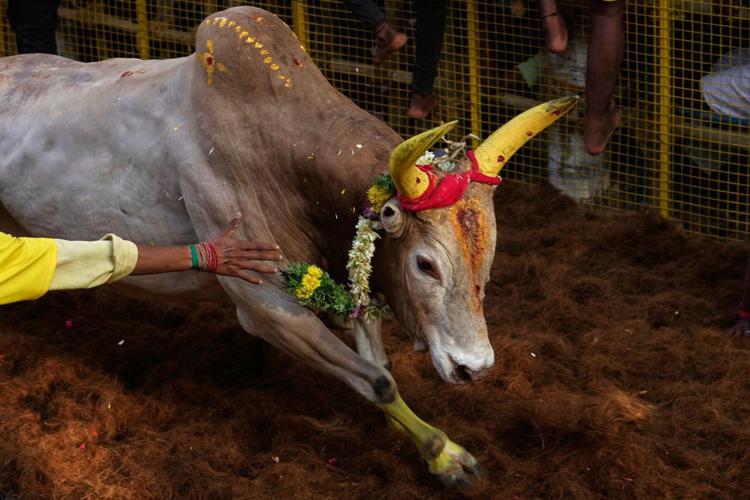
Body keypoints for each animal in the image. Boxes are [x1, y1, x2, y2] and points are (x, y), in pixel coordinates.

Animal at [0, 6, 576, 487]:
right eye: (424, 264)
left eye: (488, 259)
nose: (473, 368)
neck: (280, 152)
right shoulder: (266, 308)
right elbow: (377, 381)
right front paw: (444, 455)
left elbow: (380, 369)